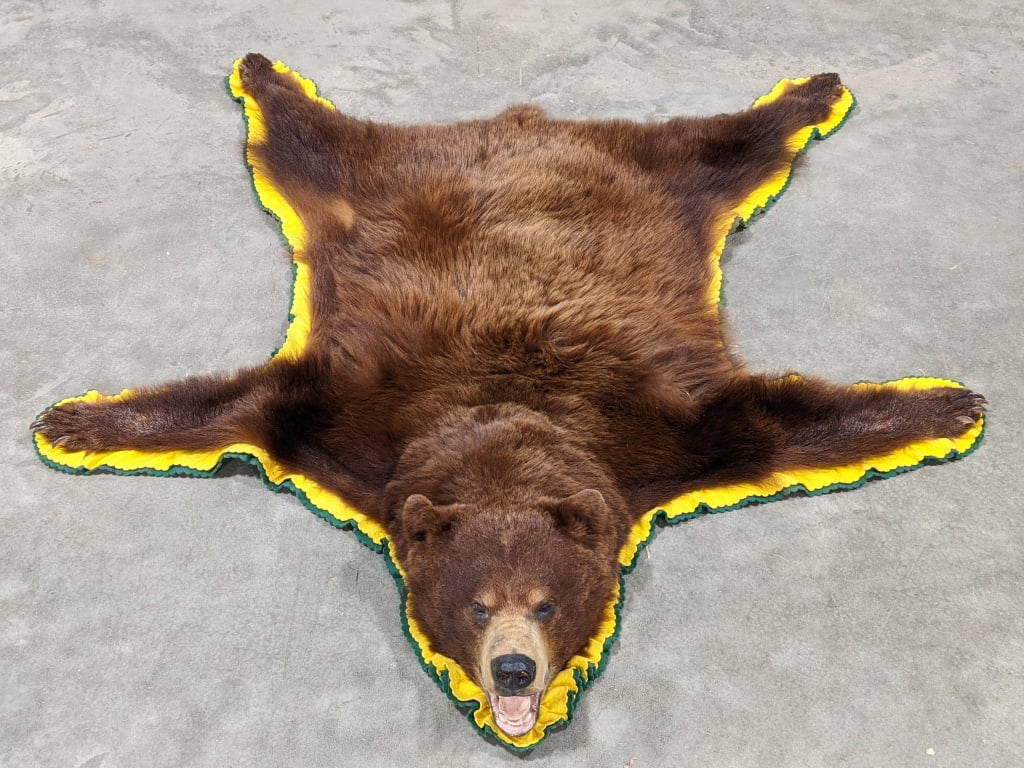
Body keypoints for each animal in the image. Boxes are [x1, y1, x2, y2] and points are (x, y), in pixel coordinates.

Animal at [32, 53, 985, 741]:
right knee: (315, 145)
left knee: (724, 145)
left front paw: (948, 404)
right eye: (476, 603)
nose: (514, 670)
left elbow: (776, 423)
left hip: (660, 178)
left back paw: (811, 92)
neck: (507, 424)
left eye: (547, 601)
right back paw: (263, 71)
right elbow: (247, 402)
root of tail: (522, 124)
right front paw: (70, 421)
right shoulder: (358, 417)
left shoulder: (658, 428)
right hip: (375, 183)